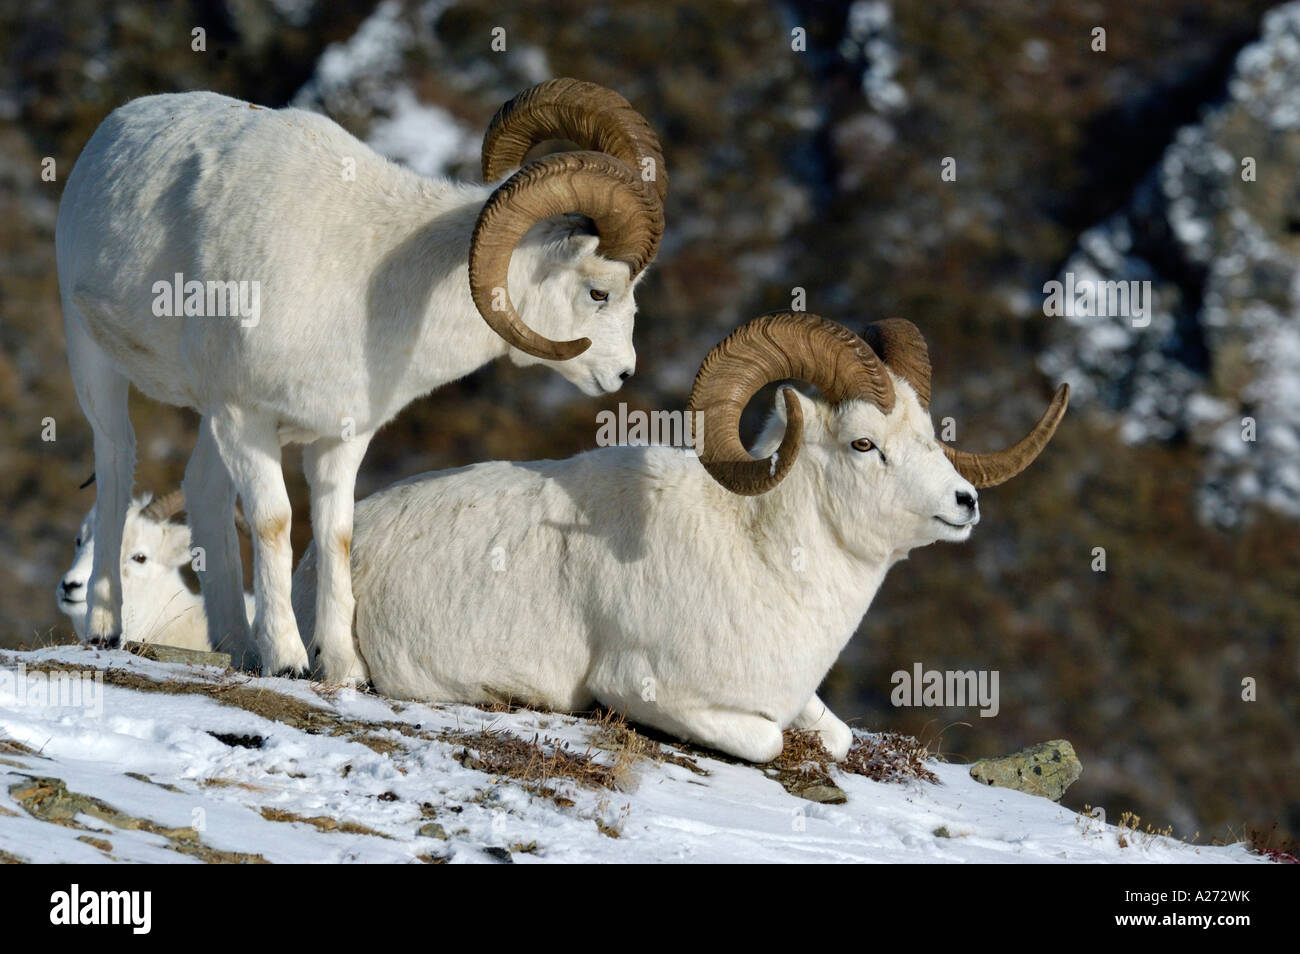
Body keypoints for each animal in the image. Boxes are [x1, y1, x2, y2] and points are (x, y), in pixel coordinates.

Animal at [290, 312, 1068, 761]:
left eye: (929, 431)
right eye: (863, 443)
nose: (964, 503)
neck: (762, 557)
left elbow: (840, 737)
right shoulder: (658, 691)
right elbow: (767, 741)